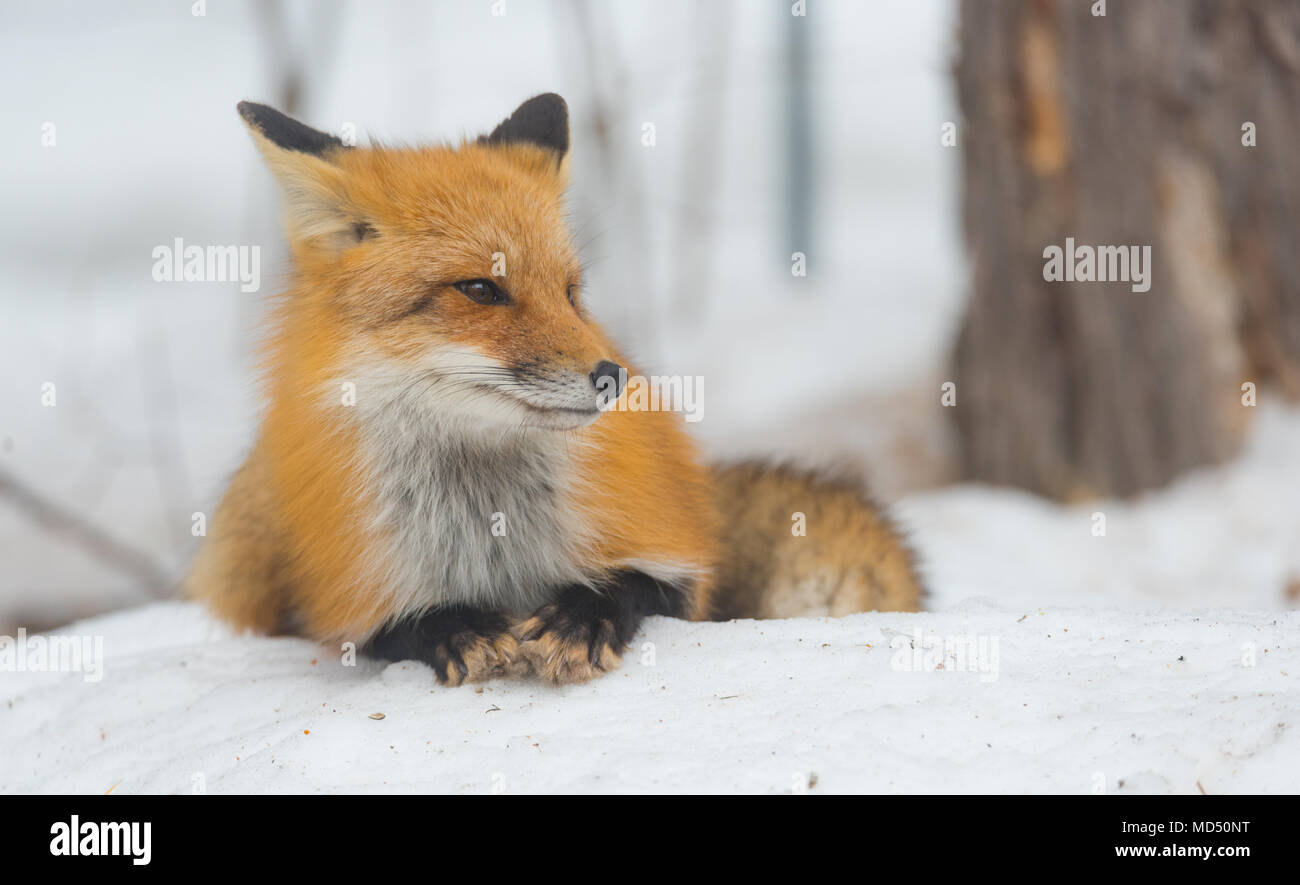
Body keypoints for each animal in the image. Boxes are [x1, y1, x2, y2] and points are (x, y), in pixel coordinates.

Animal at [188, 94, 924, 686]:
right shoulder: (352, 601)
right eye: (481, 289)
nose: (611, 377)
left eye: (571, 293)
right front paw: (457, 628)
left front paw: (582, 618)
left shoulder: (674, 559)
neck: (490, 523)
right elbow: (396, 627)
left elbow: (636, 586)